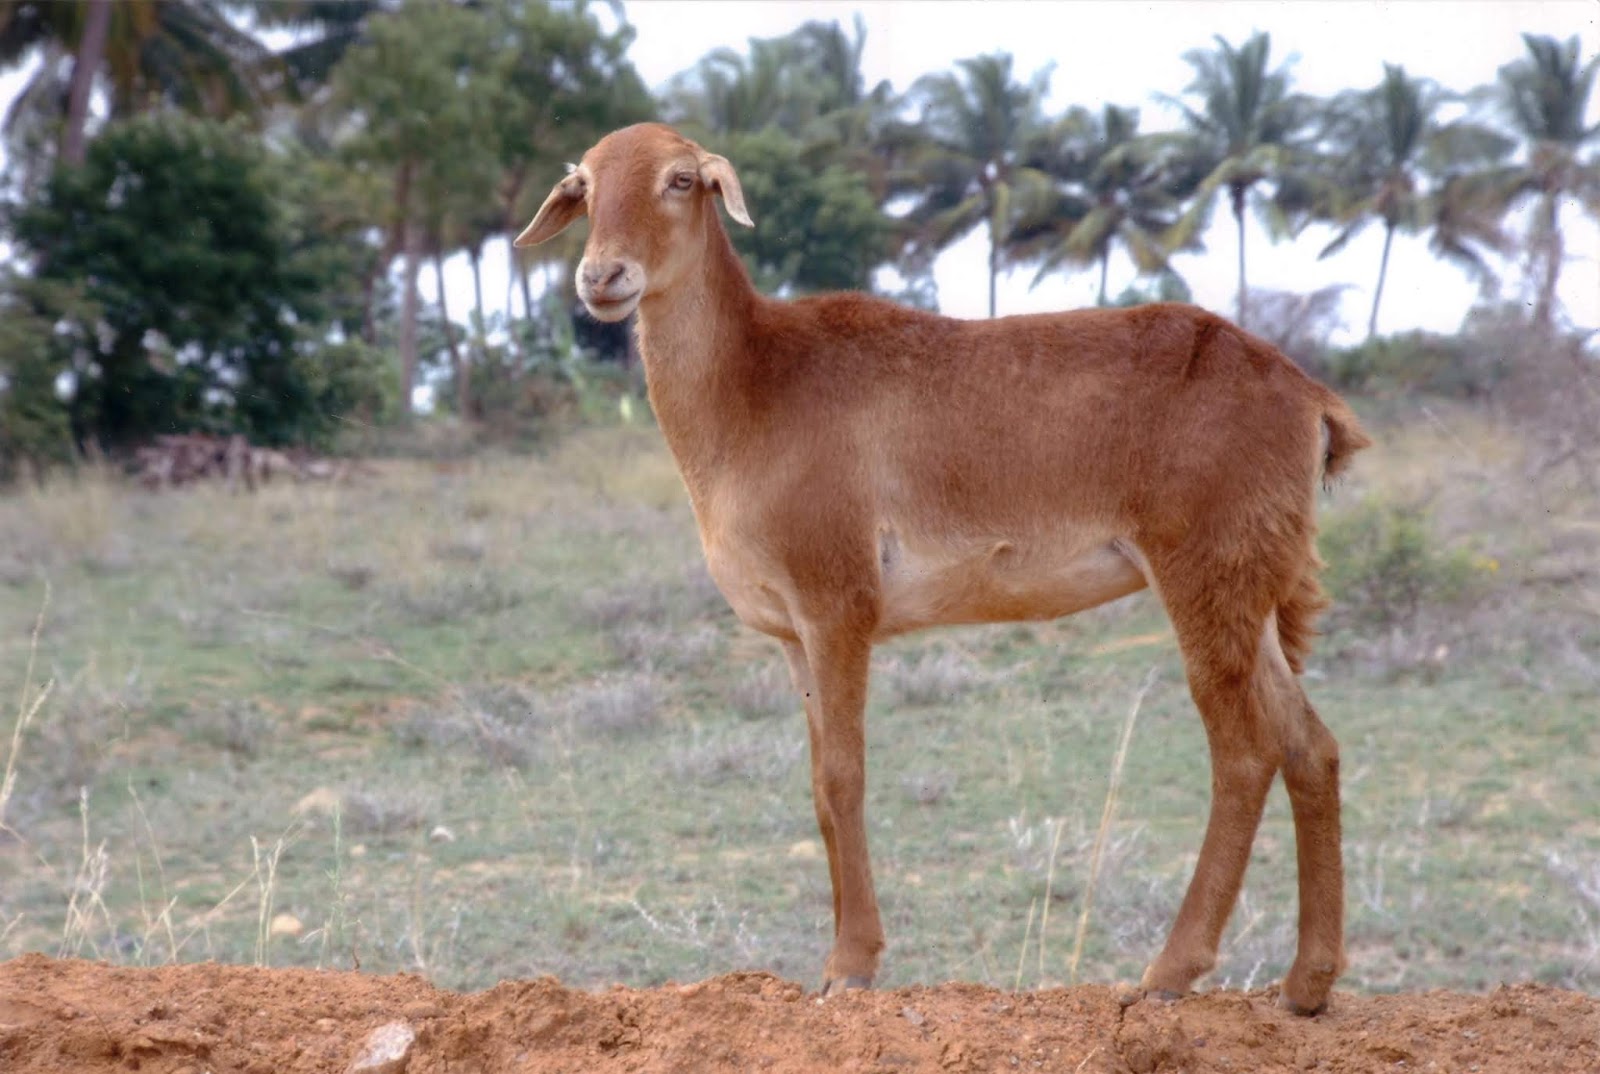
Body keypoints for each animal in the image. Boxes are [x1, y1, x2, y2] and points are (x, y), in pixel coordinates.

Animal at [515, 122, 1370, 1015]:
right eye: (586, 183)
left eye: (681, 178)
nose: (603, 278)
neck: (758, 383)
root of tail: (1308, 400)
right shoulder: (794, 639)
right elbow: (818, 788)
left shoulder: (840, 611)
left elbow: (844, 776)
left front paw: (850, 963)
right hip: (1249, 599)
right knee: (1311, 745)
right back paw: (1306, 983)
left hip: (1203, 587)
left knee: (1244, 754)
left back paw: (1166, 974)